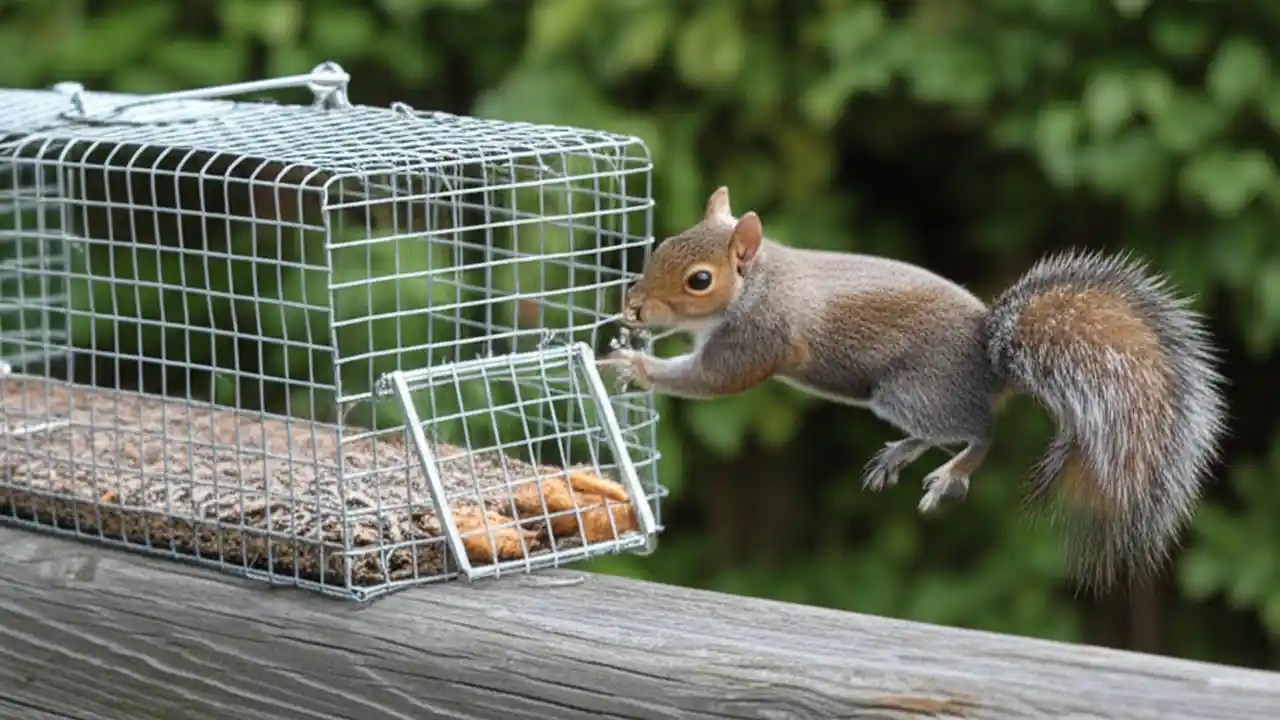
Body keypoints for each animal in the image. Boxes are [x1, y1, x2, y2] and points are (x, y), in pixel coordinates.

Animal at [602, 186, 1227, 590]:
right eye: (663, 245)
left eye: (699, 281)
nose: (632, 306)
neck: (758, 283)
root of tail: (989, 359)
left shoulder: (758, 337)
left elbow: (710, 379)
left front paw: (637, 367)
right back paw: (899, 454)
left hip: (911, 391)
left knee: (981, 432)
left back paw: (951, 472)